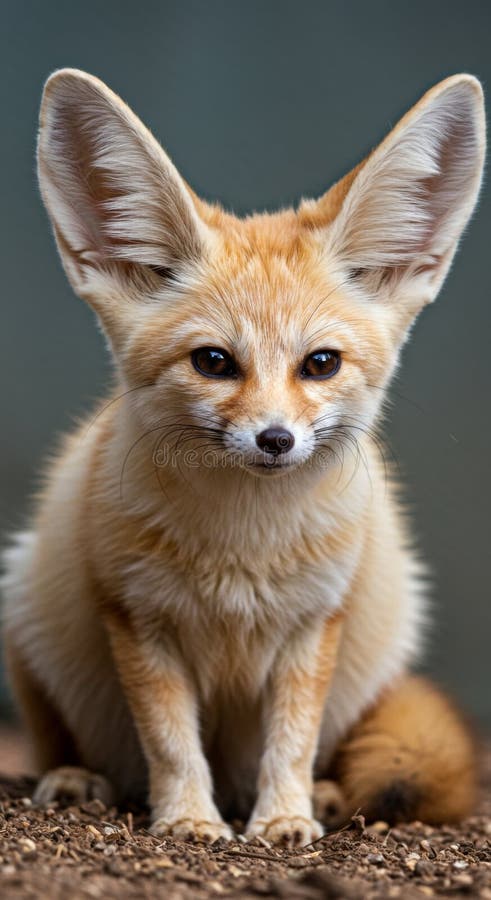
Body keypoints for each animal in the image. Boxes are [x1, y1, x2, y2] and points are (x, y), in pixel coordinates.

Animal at [1, 69, 485, 847]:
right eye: (213, 362)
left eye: (320, 364)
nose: (275, 440)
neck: (242, 551)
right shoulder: (137, 619)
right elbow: (172, 741)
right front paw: (190, 822)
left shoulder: (314, 624)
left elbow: (289, 740)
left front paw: (282, 819)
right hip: (28, 607)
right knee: (64, 746)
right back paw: (81, 780)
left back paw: (320, 798)